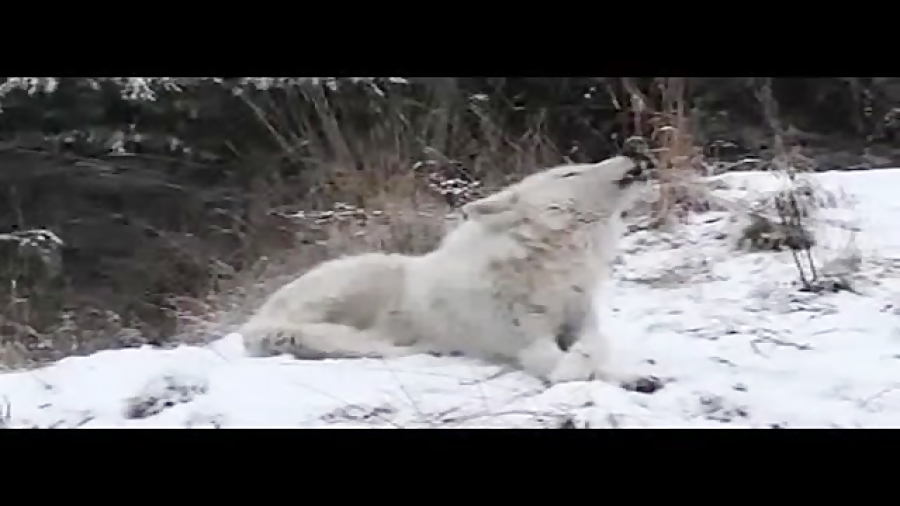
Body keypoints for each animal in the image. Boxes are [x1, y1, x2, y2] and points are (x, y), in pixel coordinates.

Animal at [240, 138, 661, 391]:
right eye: (570, 172)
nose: (634, 148)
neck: (550, 263)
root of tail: (256, 320)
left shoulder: (580, 319)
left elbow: (596, 345)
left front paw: (631, 377)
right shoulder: (529, 344)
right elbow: (569, 367)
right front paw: (575, 372)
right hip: (353, 283)